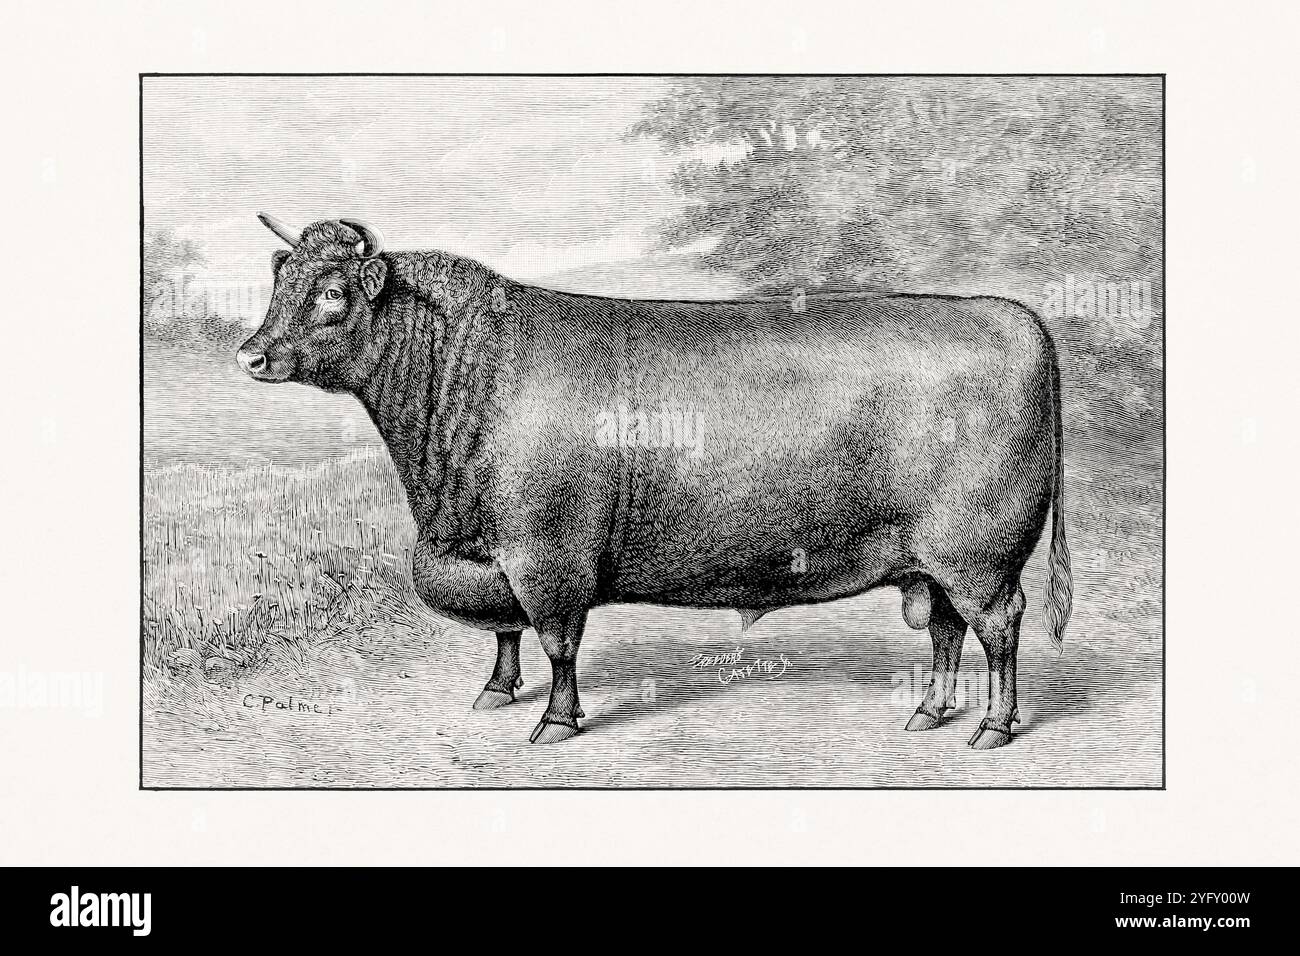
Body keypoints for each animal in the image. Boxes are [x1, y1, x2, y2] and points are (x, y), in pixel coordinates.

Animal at [238, 215, 1072, 750]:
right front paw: (498, 691)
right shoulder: (490, 544)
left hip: (979, 553)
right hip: (932, 560)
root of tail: (1015, 318)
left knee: (999, 626)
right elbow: (507, 628)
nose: (251, 354)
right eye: (281, 283)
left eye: (332, 294)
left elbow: (557, 639)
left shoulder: (546, 552)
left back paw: (994, 726)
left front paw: (555, 722)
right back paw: (930, 711)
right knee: (946, 628)